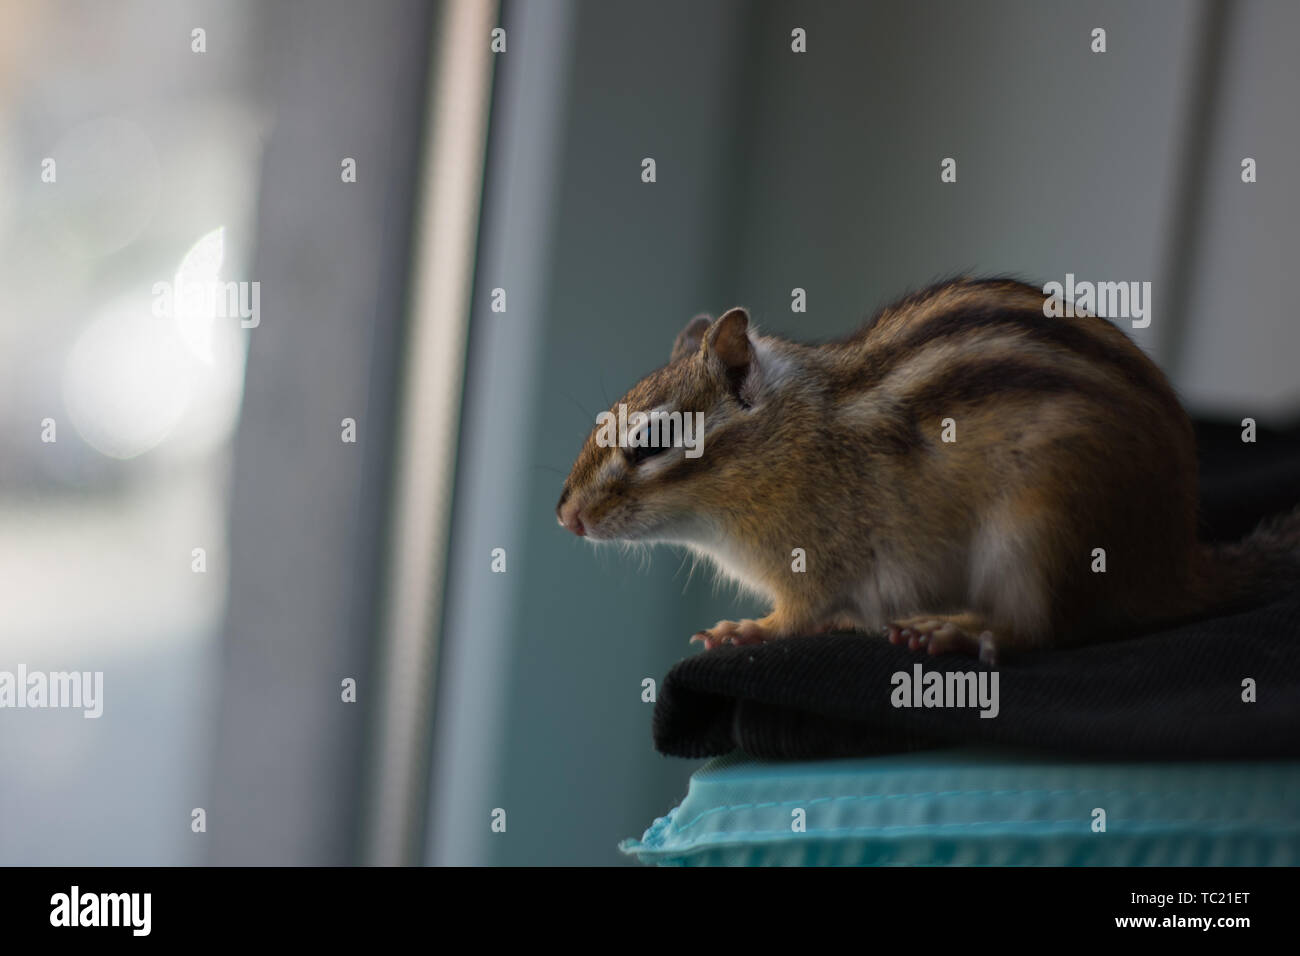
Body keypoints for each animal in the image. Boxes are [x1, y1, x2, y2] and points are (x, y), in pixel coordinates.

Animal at [556, 277, 1300, 663]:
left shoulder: (817, 561)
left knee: (1041, 630)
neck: (791, 438)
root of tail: (1173, 561)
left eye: (654, 441)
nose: (565, 516)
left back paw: (953, 629)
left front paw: (748, 631)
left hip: (1041, 533)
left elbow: (796, 615)